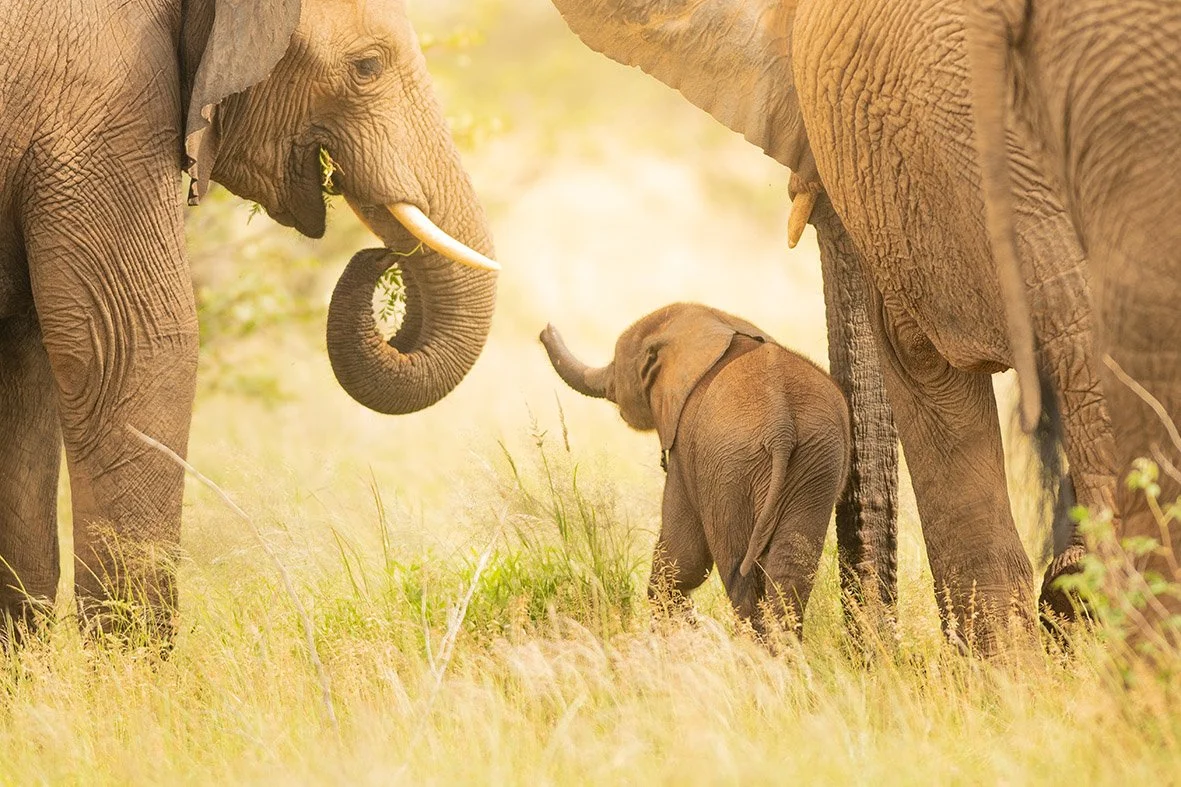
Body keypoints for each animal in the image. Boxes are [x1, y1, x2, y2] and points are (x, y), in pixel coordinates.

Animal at [0, 0, 500, 639]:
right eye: (367, 66)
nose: (380, 254)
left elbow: (28, 363)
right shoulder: (99, 101)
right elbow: (135, 346)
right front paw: (130, 663)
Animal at [540, 303, 852, 635]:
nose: (544, 329)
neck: (717, 322)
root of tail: (782, 428)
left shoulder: (683, 449)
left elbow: (684, 558)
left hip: (730, 468)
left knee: (738, 572)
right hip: (816, 463)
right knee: (790, 569)